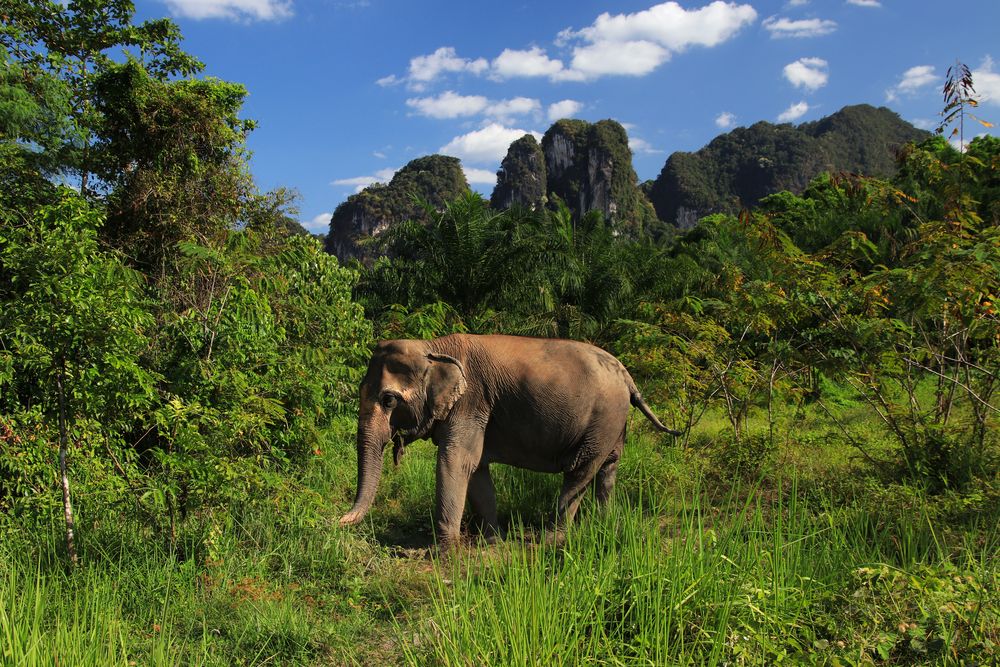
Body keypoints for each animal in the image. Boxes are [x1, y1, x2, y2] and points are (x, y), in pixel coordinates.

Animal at [338, 333, 679, 548]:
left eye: (389, 400)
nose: (337, 521)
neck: (434, 346)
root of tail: (627, 376)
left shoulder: (471, 402)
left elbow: (455, 461)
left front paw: (443, 551)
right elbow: (476, 470)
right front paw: (492, 541)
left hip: (604, 417)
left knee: (580, 471)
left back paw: (551, 540)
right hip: (613, 423)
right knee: (608, 470)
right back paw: (603, 525)